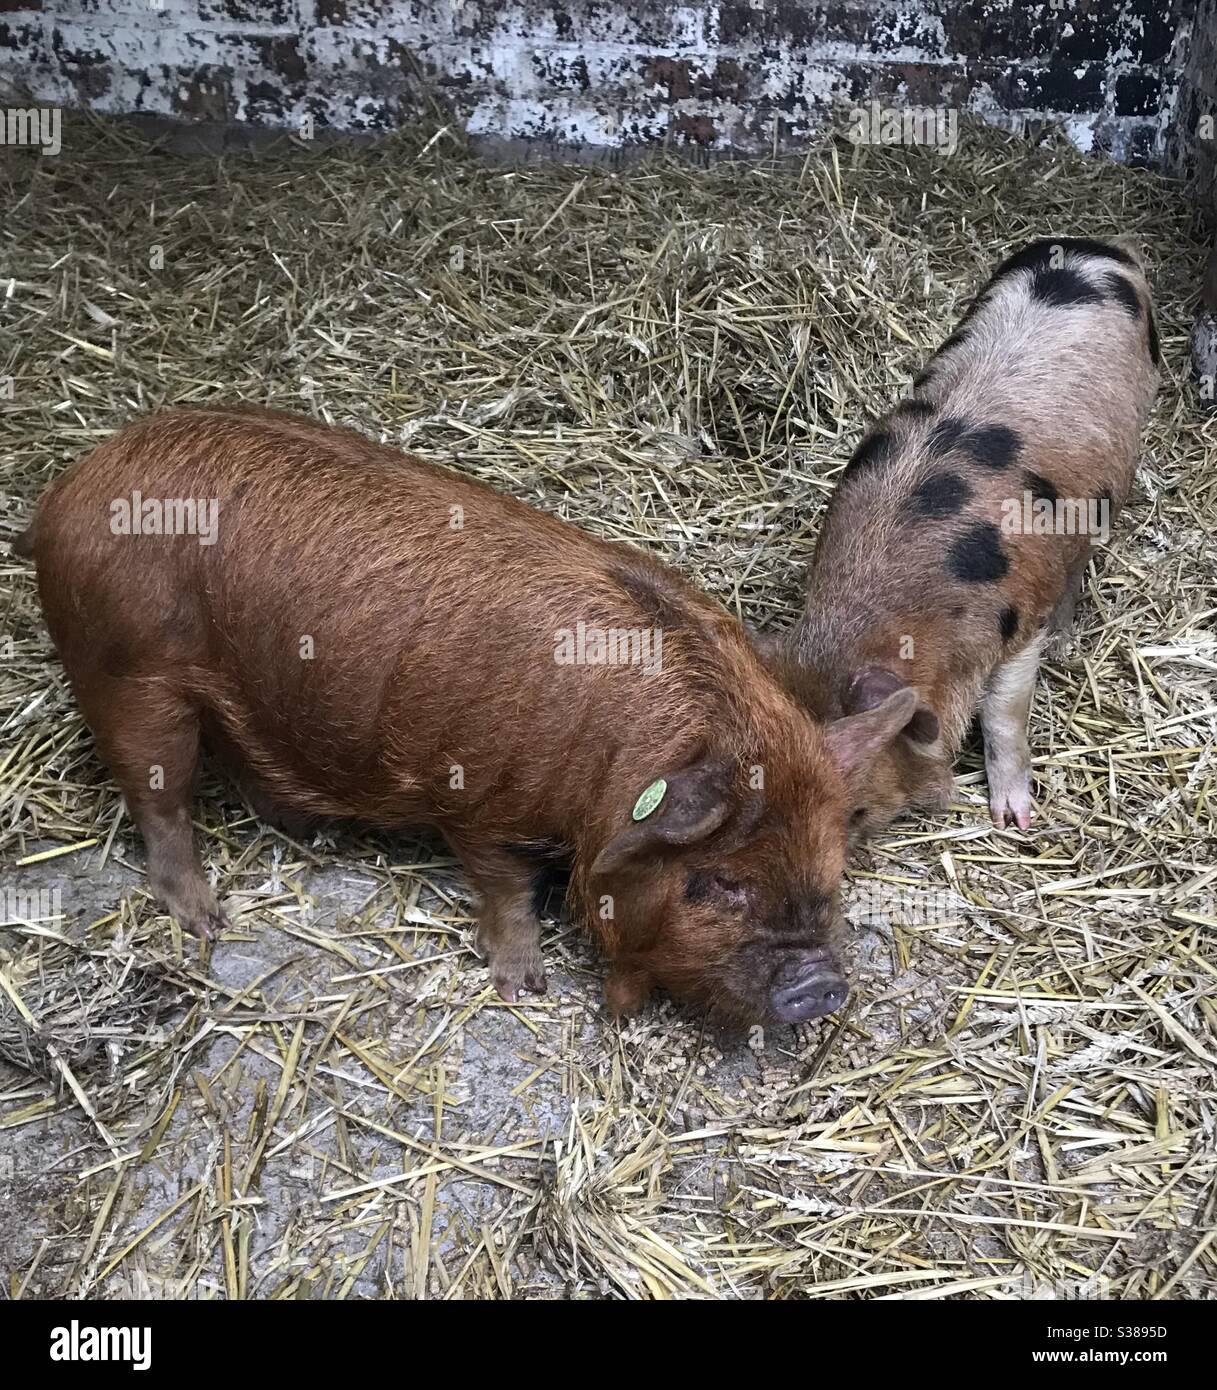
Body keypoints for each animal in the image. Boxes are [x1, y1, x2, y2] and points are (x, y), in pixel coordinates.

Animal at [14, 406, 917, 1024]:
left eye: (829, 874)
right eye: (718, 883)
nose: (821, 985)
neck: (609, 771)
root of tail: (69, 486)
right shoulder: (480, 801)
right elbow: (504, 888)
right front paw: (524, 986)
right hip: (126, 673)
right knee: (157, 795)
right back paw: (206, 922)